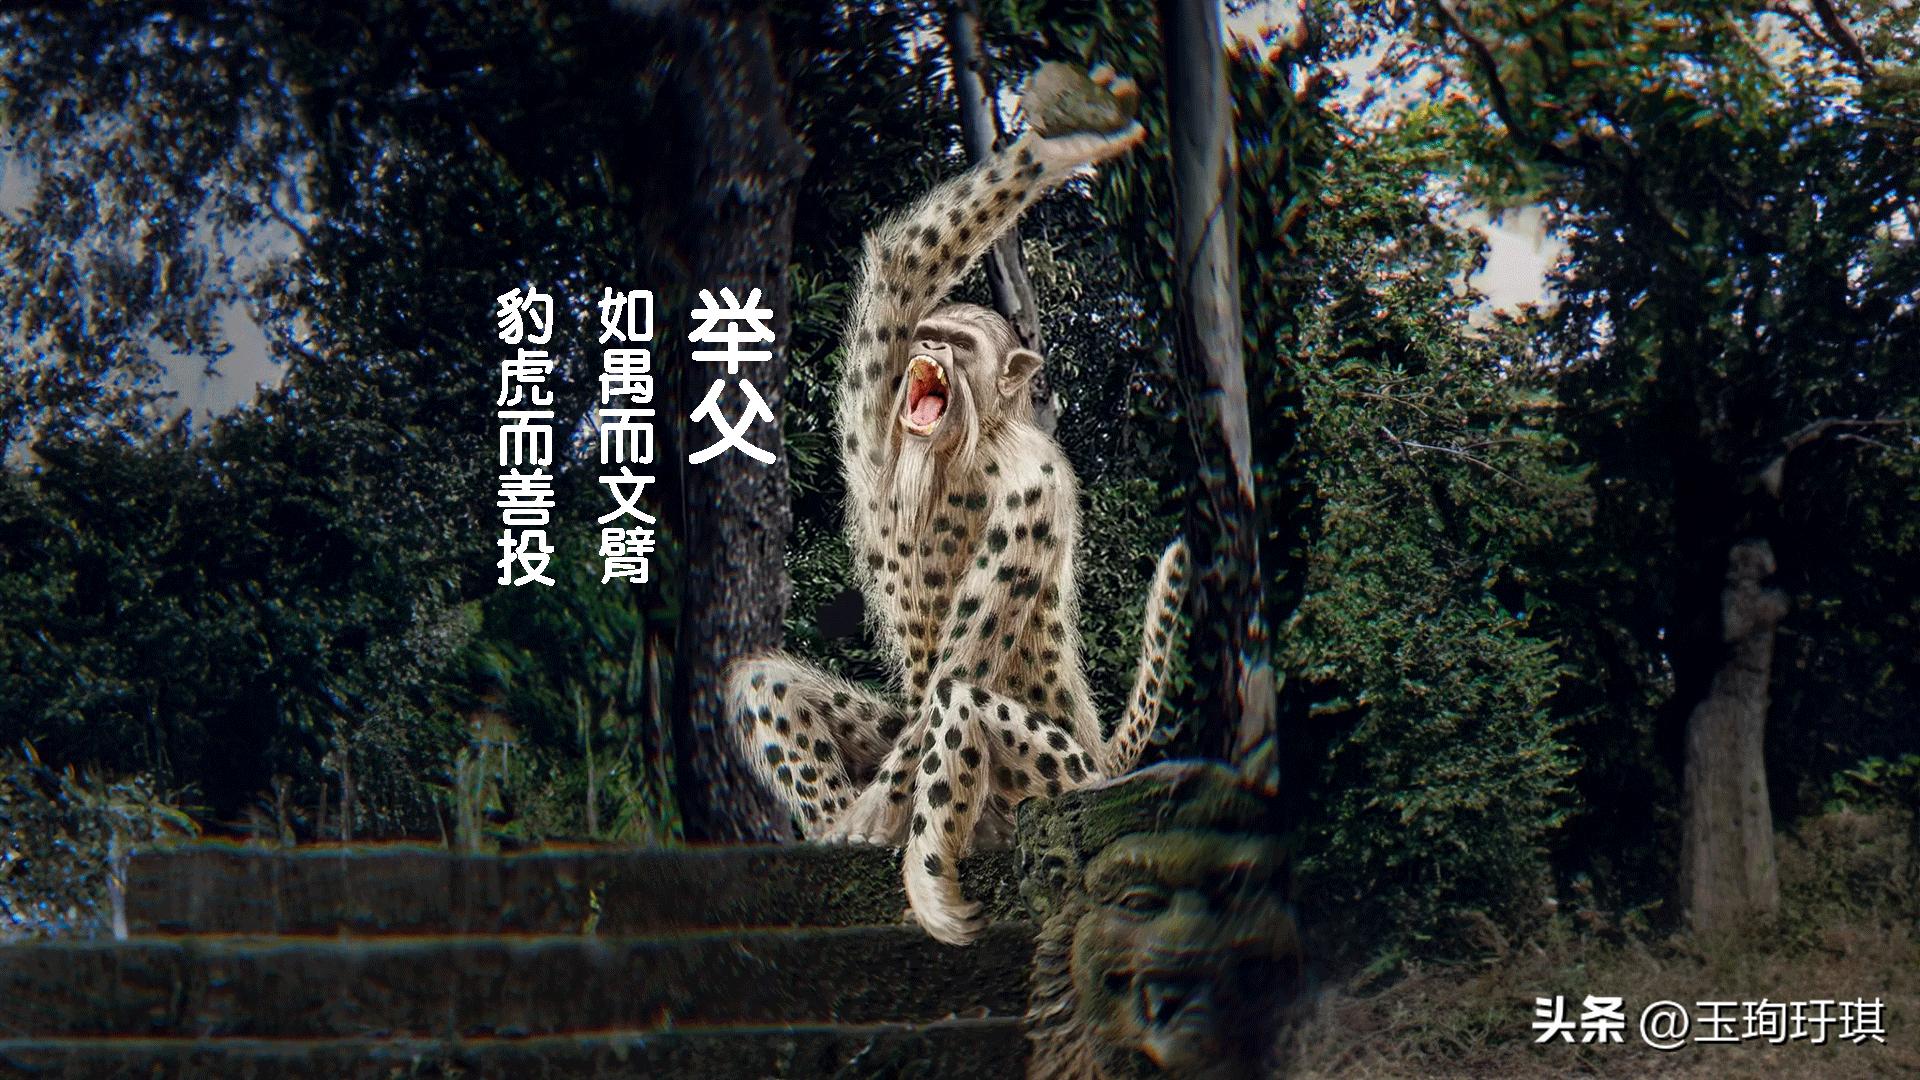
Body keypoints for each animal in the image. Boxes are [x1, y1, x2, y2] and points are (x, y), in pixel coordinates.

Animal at [726, 65, 1189, 945]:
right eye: (929, 335)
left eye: (963, 345)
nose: (931, 351)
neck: (955, 454)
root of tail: (1102, 762)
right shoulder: (874, 396)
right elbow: (906, 257)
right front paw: (1063, 141)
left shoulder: (1037, 483)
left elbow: (957, 672)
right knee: (765, 680)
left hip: (1054, 782)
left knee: (957, 703)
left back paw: (929, 877)